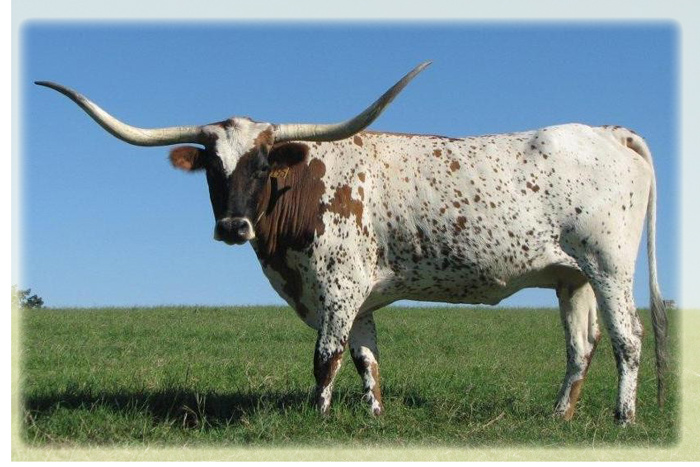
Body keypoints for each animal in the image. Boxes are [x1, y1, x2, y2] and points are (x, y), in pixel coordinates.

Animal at [36, 61, 668, 425]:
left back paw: (625, 417)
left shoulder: (338, 287)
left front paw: (317, 420)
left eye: (263, 165)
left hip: (609, 266)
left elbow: (326, 357)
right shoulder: (358, 297)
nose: (233, 227)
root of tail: (610, 132)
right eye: (213, 168)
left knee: (628, 339)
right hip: (571, 276)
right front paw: (373, 416)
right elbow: (366, 357)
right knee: (581, 346)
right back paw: (559, 417)